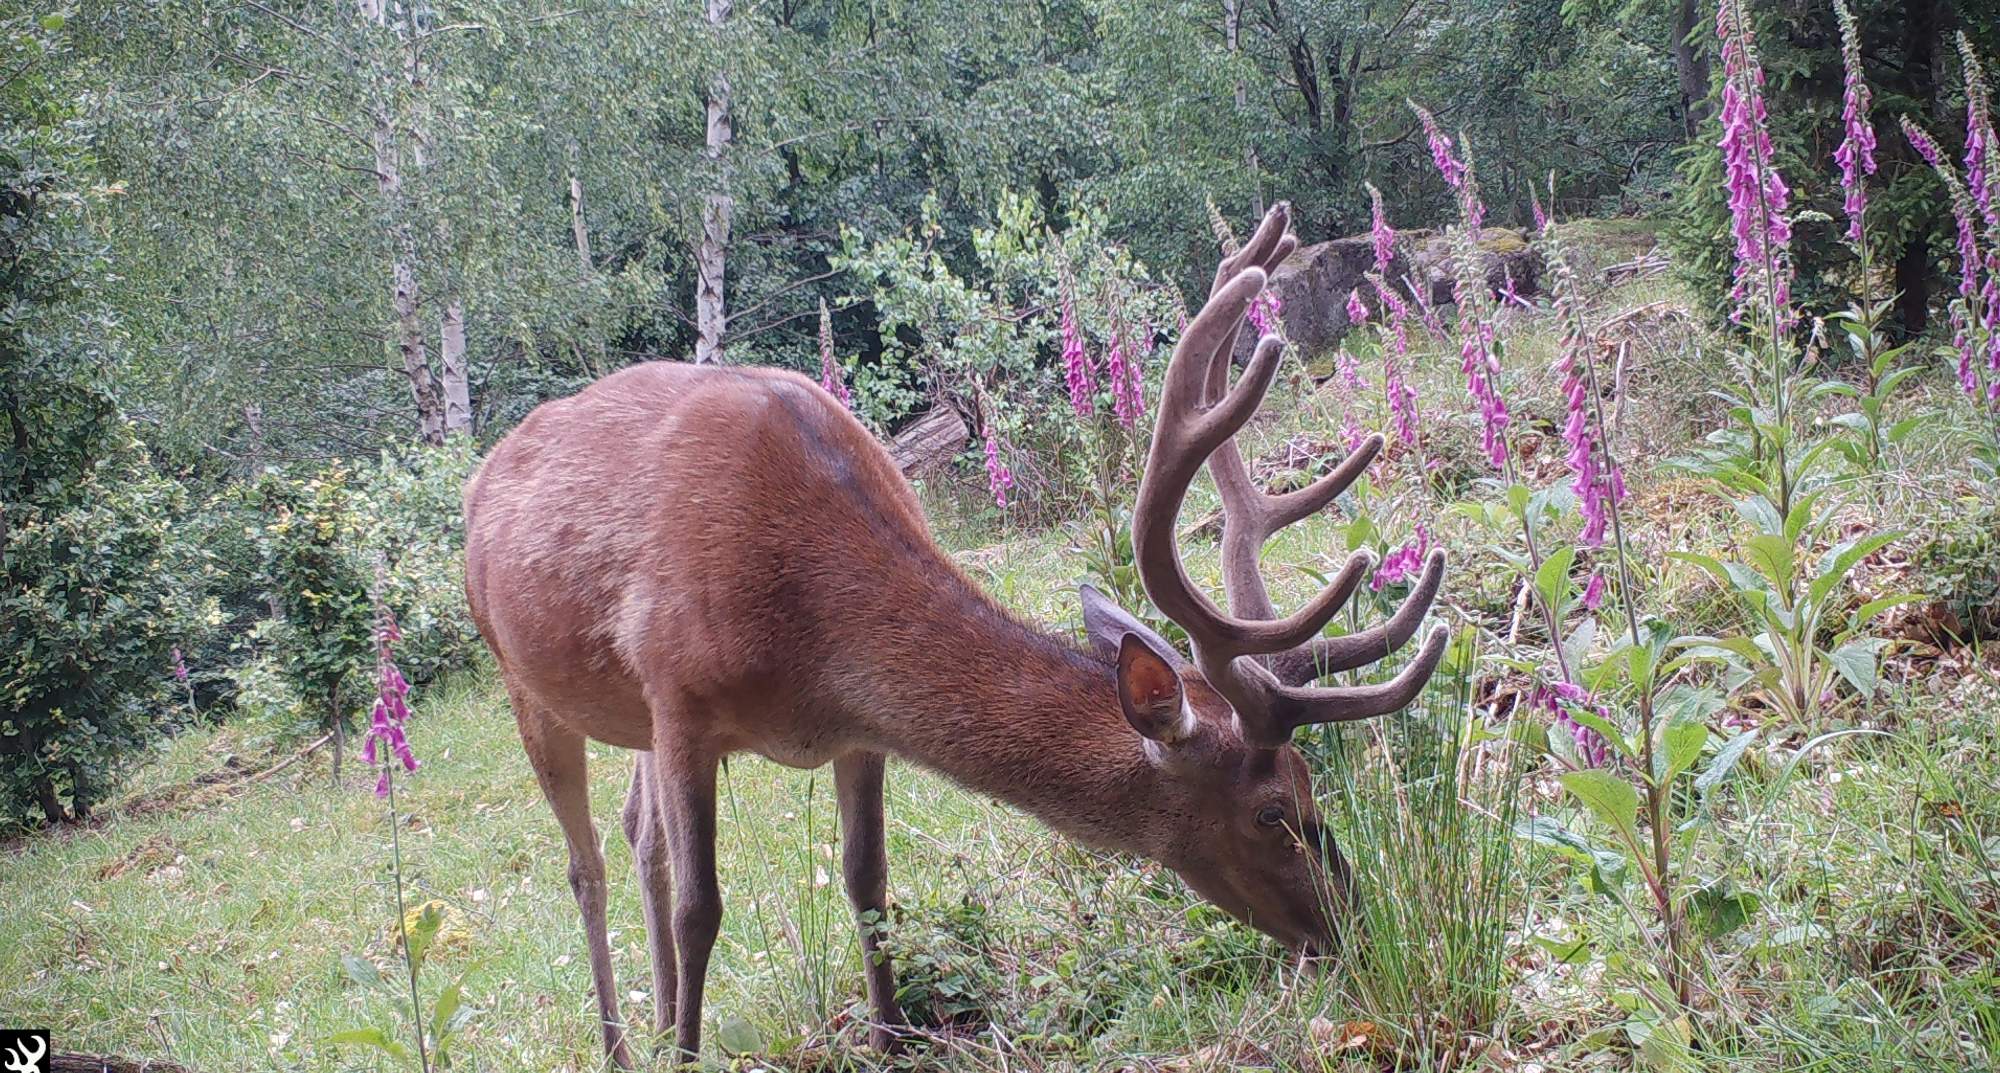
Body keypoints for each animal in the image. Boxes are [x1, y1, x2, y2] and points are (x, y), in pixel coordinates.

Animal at [462, 203, 1448, 1065]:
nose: (1359, 927)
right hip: (523, 677)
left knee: (641, 836)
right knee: (589, 864)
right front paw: (692, 1057)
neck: (805, 636)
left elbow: (867, 882)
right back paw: (630, 1043)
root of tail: (482, 475)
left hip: (626, 713)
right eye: (1274, 810)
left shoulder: (854, 733)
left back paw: (666, 1018)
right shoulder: (681, 698)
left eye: (1312, 787)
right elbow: (702, 908)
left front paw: (893, 1037)